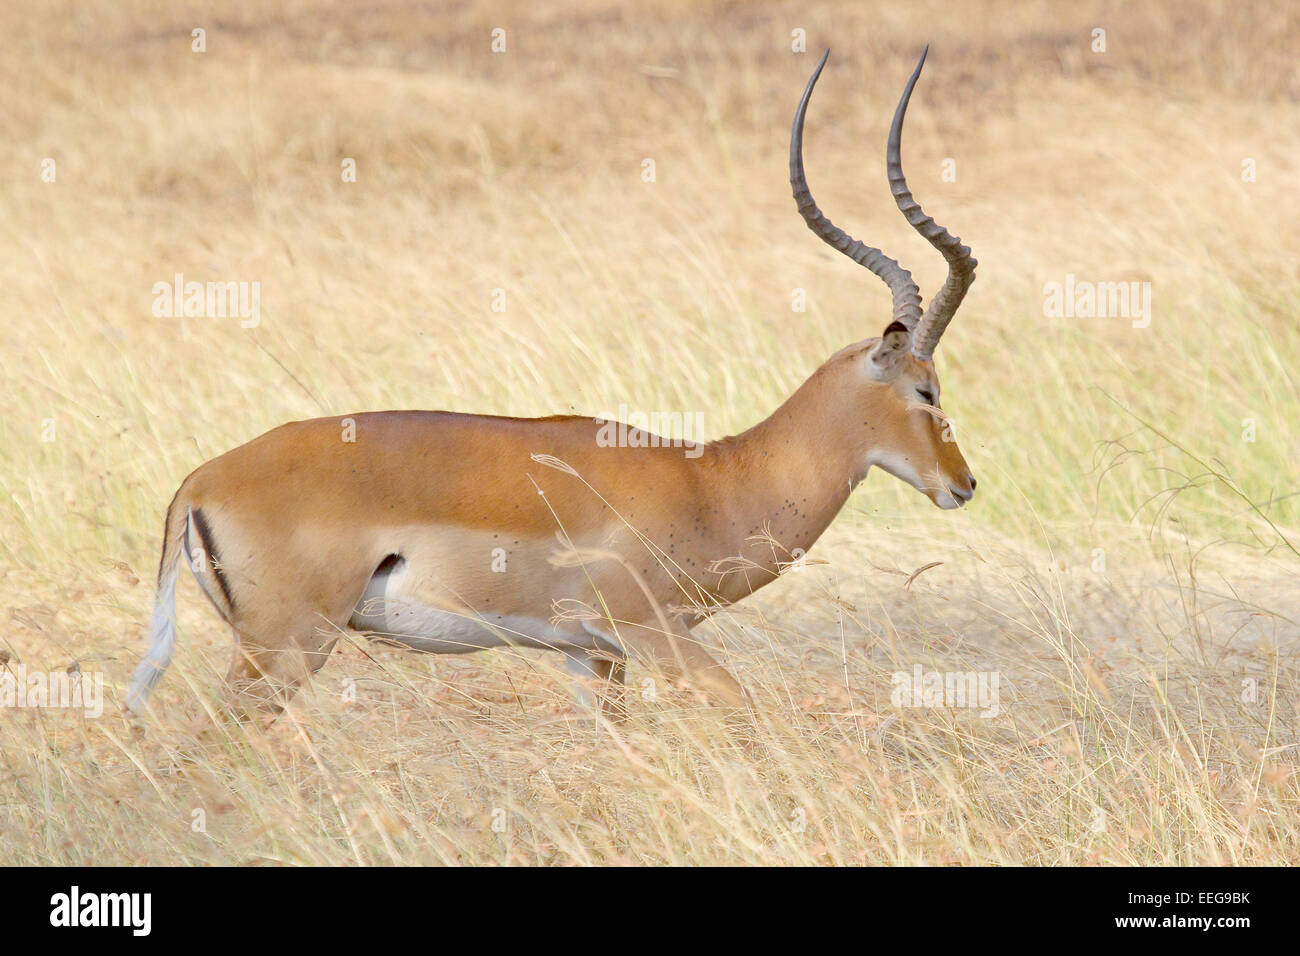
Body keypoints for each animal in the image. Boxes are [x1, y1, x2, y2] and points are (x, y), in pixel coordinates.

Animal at [124, 46, 977, 721]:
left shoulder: (592, 656)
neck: (714, 481)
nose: (964, 484)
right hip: (286, 649)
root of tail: (201, 481)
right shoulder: (647, 633)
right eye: (925, 390)